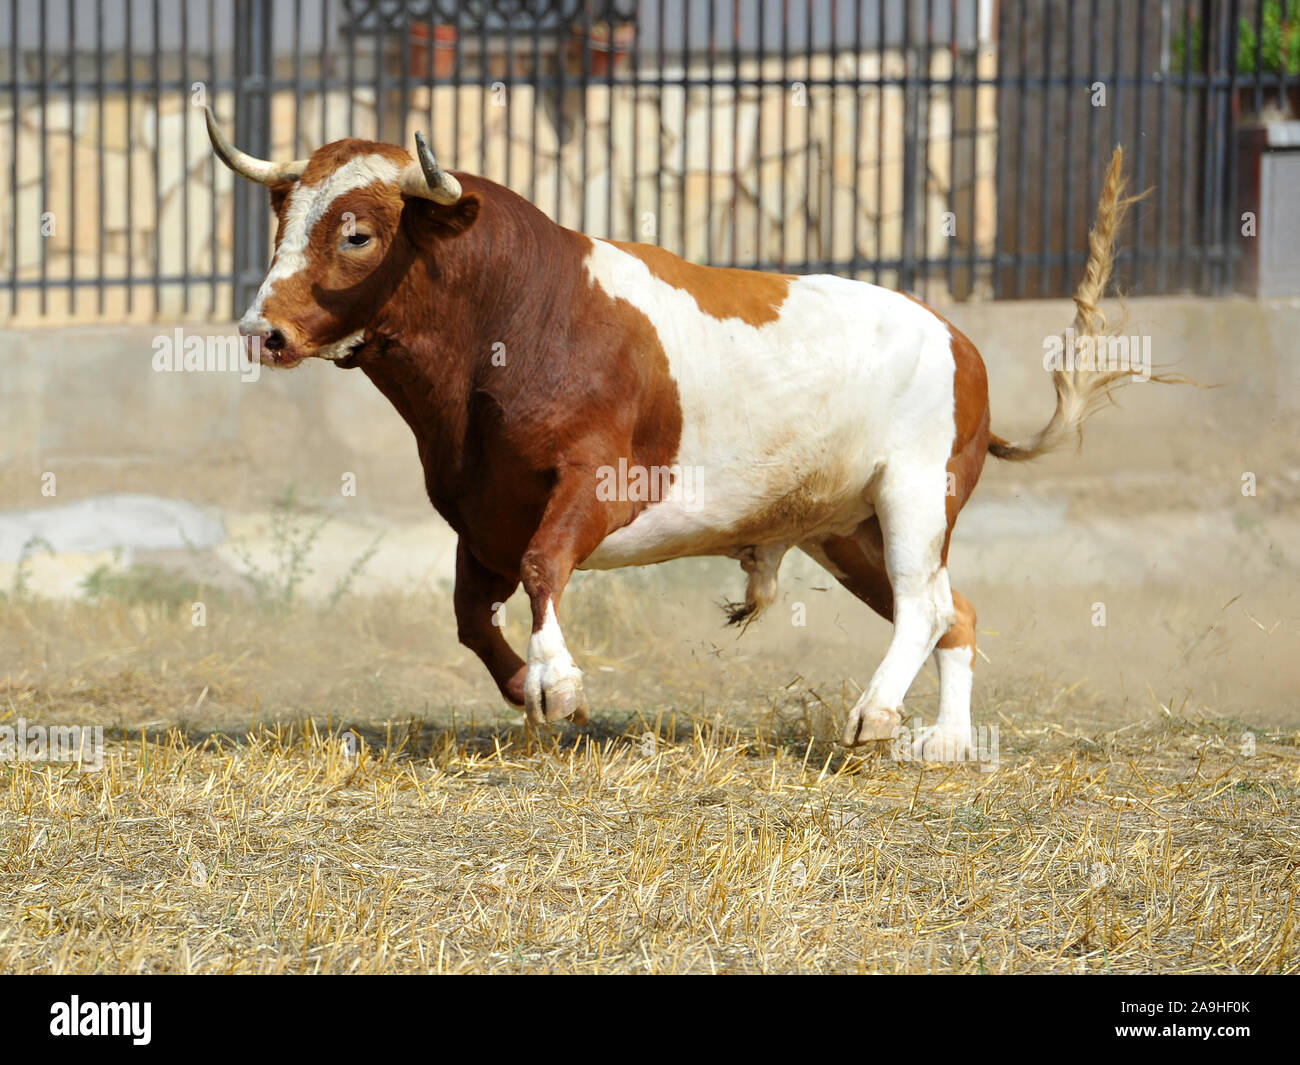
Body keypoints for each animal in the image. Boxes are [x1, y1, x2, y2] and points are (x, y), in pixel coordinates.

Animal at [205, 107, 1159, 756]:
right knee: (951, 610)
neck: (516, 314)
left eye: (357, 233)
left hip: (915, 494)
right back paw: (950, 740)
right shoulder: (477, 514)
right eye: (284, 220)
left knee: (924, 605)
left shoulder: (598, 484)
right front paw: (524, 683)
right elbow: (472, 618)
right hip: (846, 529)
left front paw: (560, 683)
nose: (263, 330)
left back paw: (877, 713)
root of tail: (961, 342)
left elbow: (544, 566)